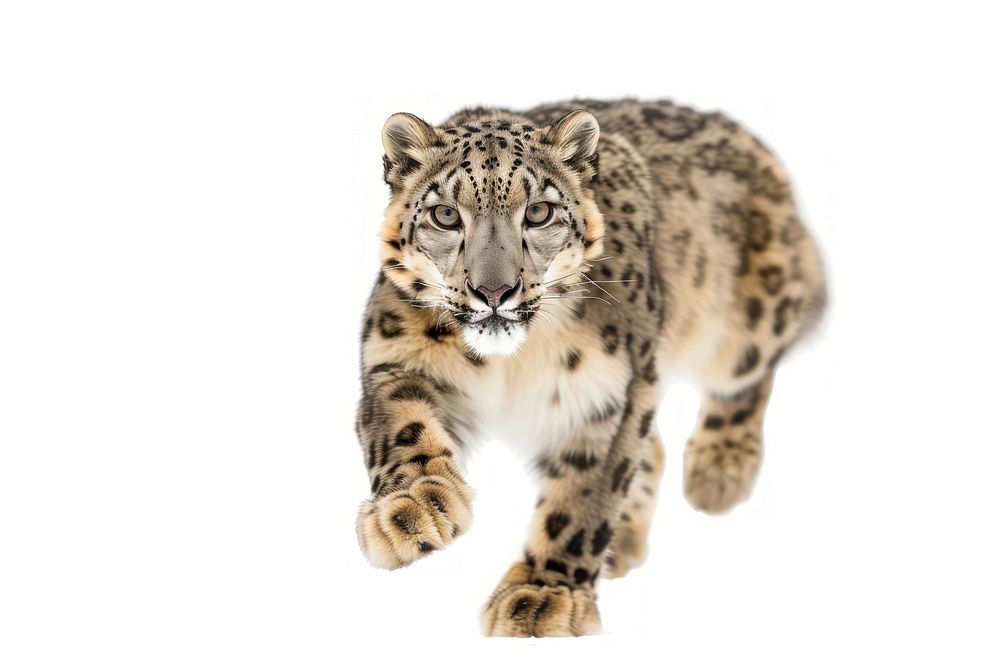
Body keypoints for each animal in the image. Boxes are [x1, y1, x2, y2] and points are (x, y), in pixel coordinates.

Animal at [354, 99, 826, 637]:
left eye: (538, 212)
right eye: (446, 215)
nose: (494, 292)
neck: (512, 362)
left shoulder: (606, 398)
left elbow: (585, 498)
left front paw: (543, 596)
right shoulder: (393, 356)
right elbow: (402, 429)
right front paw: (412, 513)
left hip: (750, 320)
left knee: (746, 377)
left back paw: (720, 467)